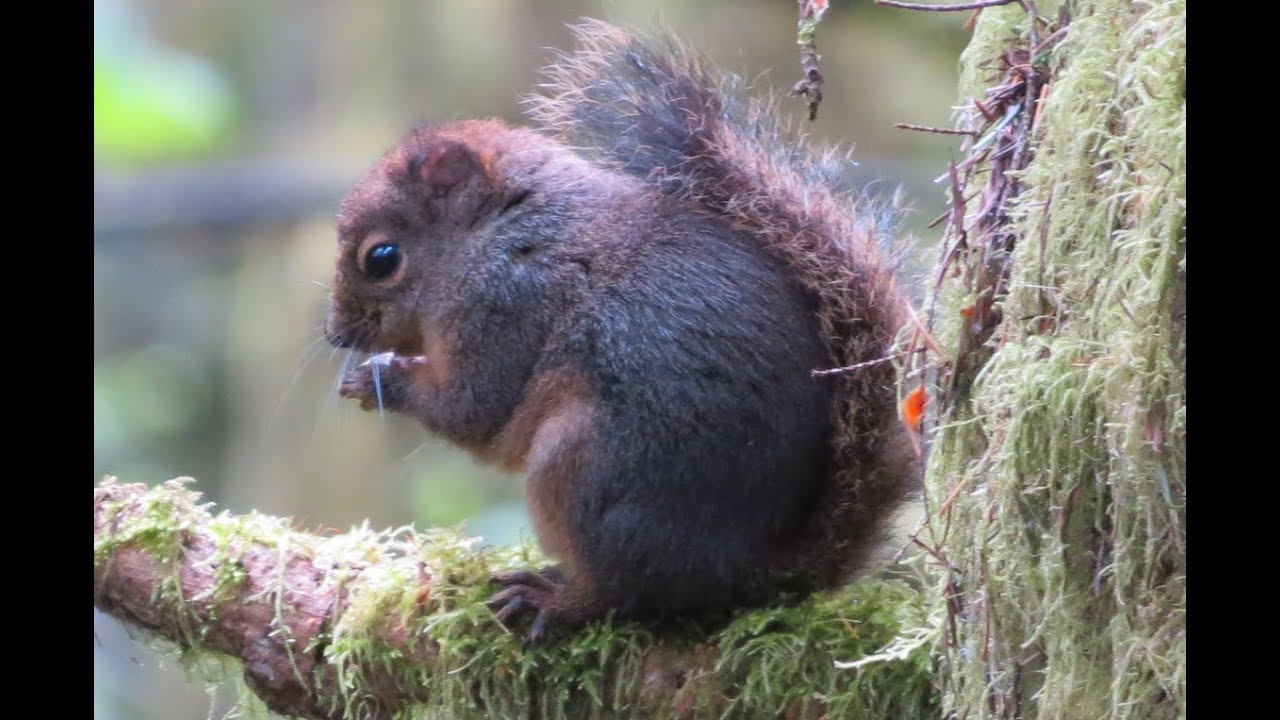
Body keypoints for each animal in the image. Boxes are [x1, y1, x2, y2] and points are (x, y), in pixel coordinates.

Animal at [325, 20, 918, 642]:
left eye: (381, 258)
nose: (336, 335)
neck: (494, 232)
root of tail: (748, 573)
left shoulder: (504, 304)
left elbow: (472, 407)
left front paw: (377, 381)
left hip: (580, 464)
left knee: (625, 593)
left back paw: (555, 599)